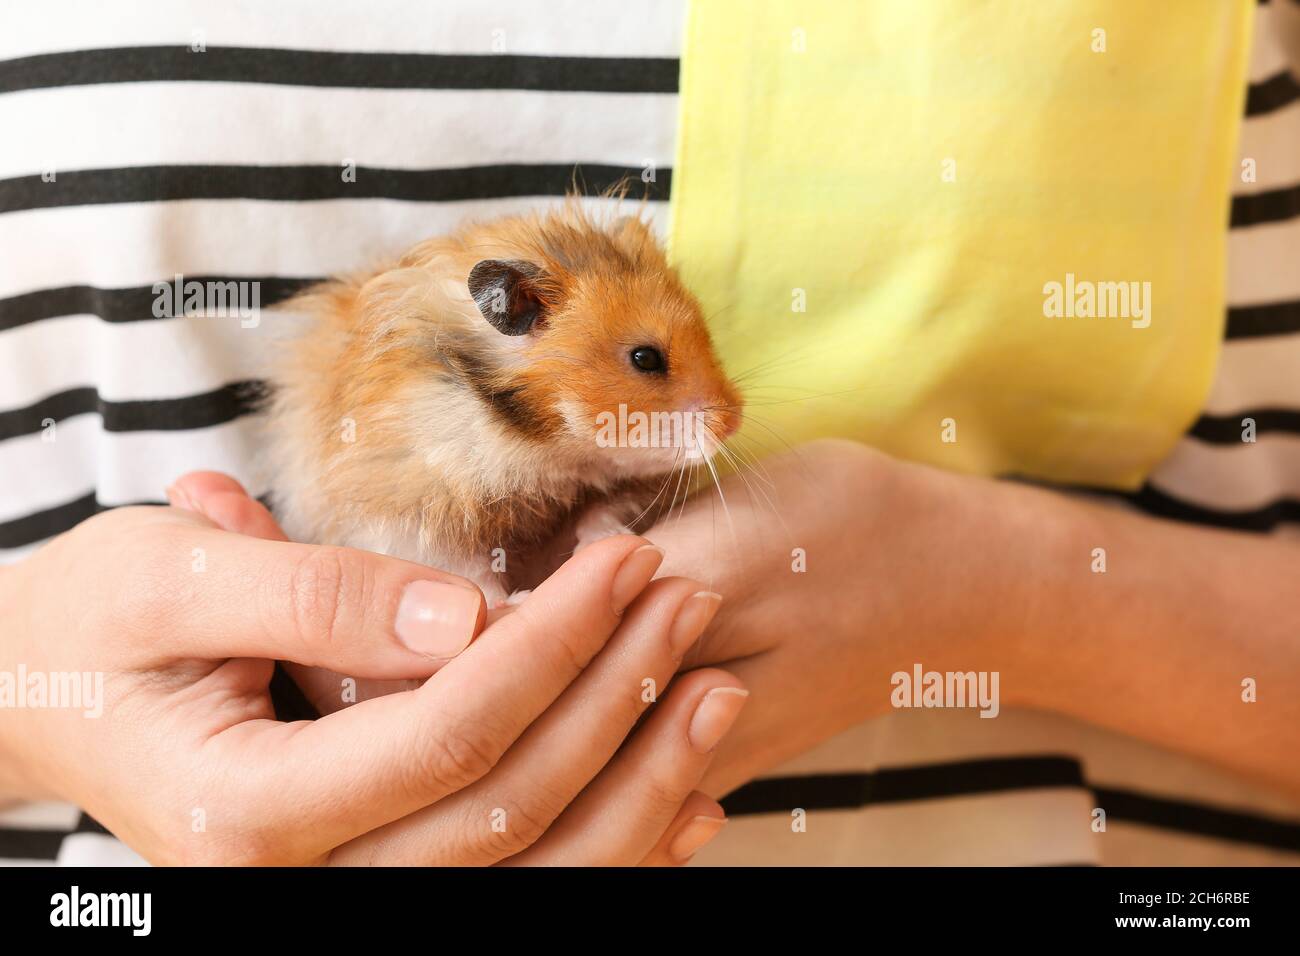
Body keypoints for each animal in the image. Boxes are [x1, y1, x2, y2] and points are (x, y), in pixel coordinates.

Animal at [262, 202, 743, 606]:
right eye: (645, 358)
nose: (733, 422)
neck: (545, 444)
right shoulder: (412, 508)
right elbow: (468, 572)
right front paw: (516, 602)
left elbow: (602, 507)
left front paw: (602, 539)